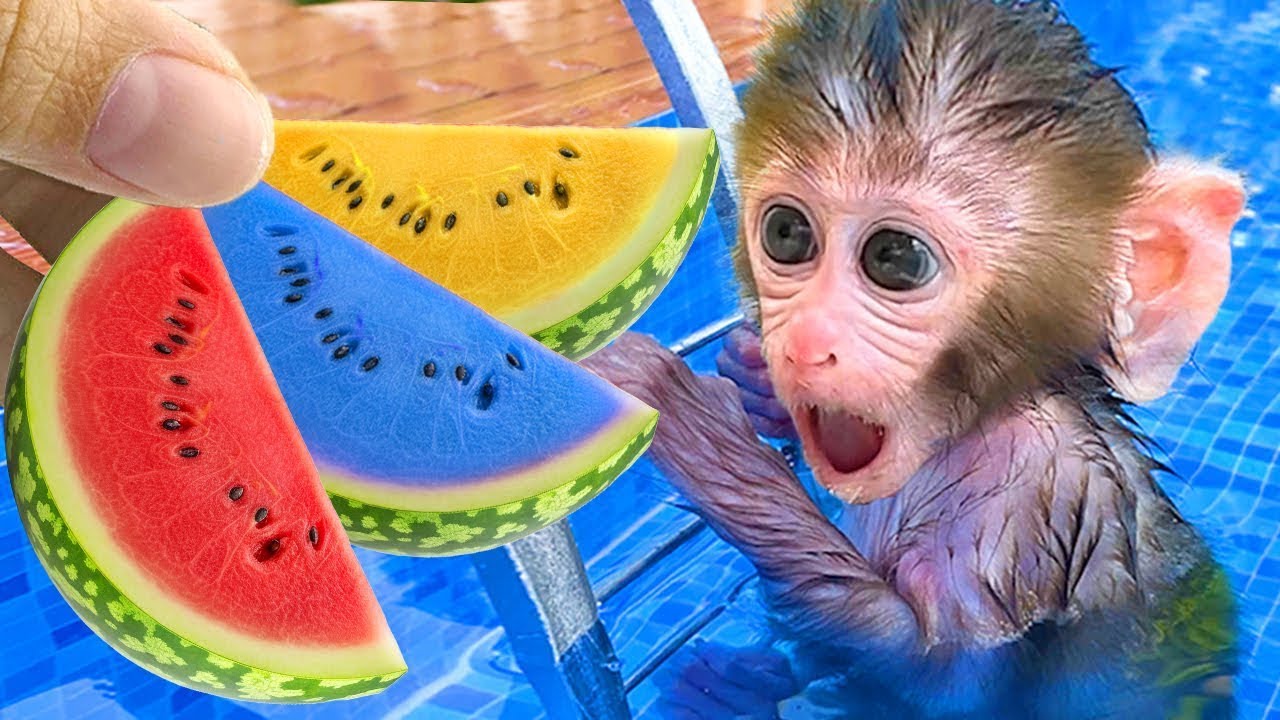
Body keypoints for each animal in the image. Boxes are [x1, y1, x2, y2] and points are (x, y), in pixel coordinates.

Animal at [580, 1, 1248, 717]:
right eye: (787, 234)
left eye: (895, 258)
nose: (804, 341)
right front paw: (753, 380)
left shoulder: (1026, 497)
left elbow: (941, 677)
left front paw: (696, 427)